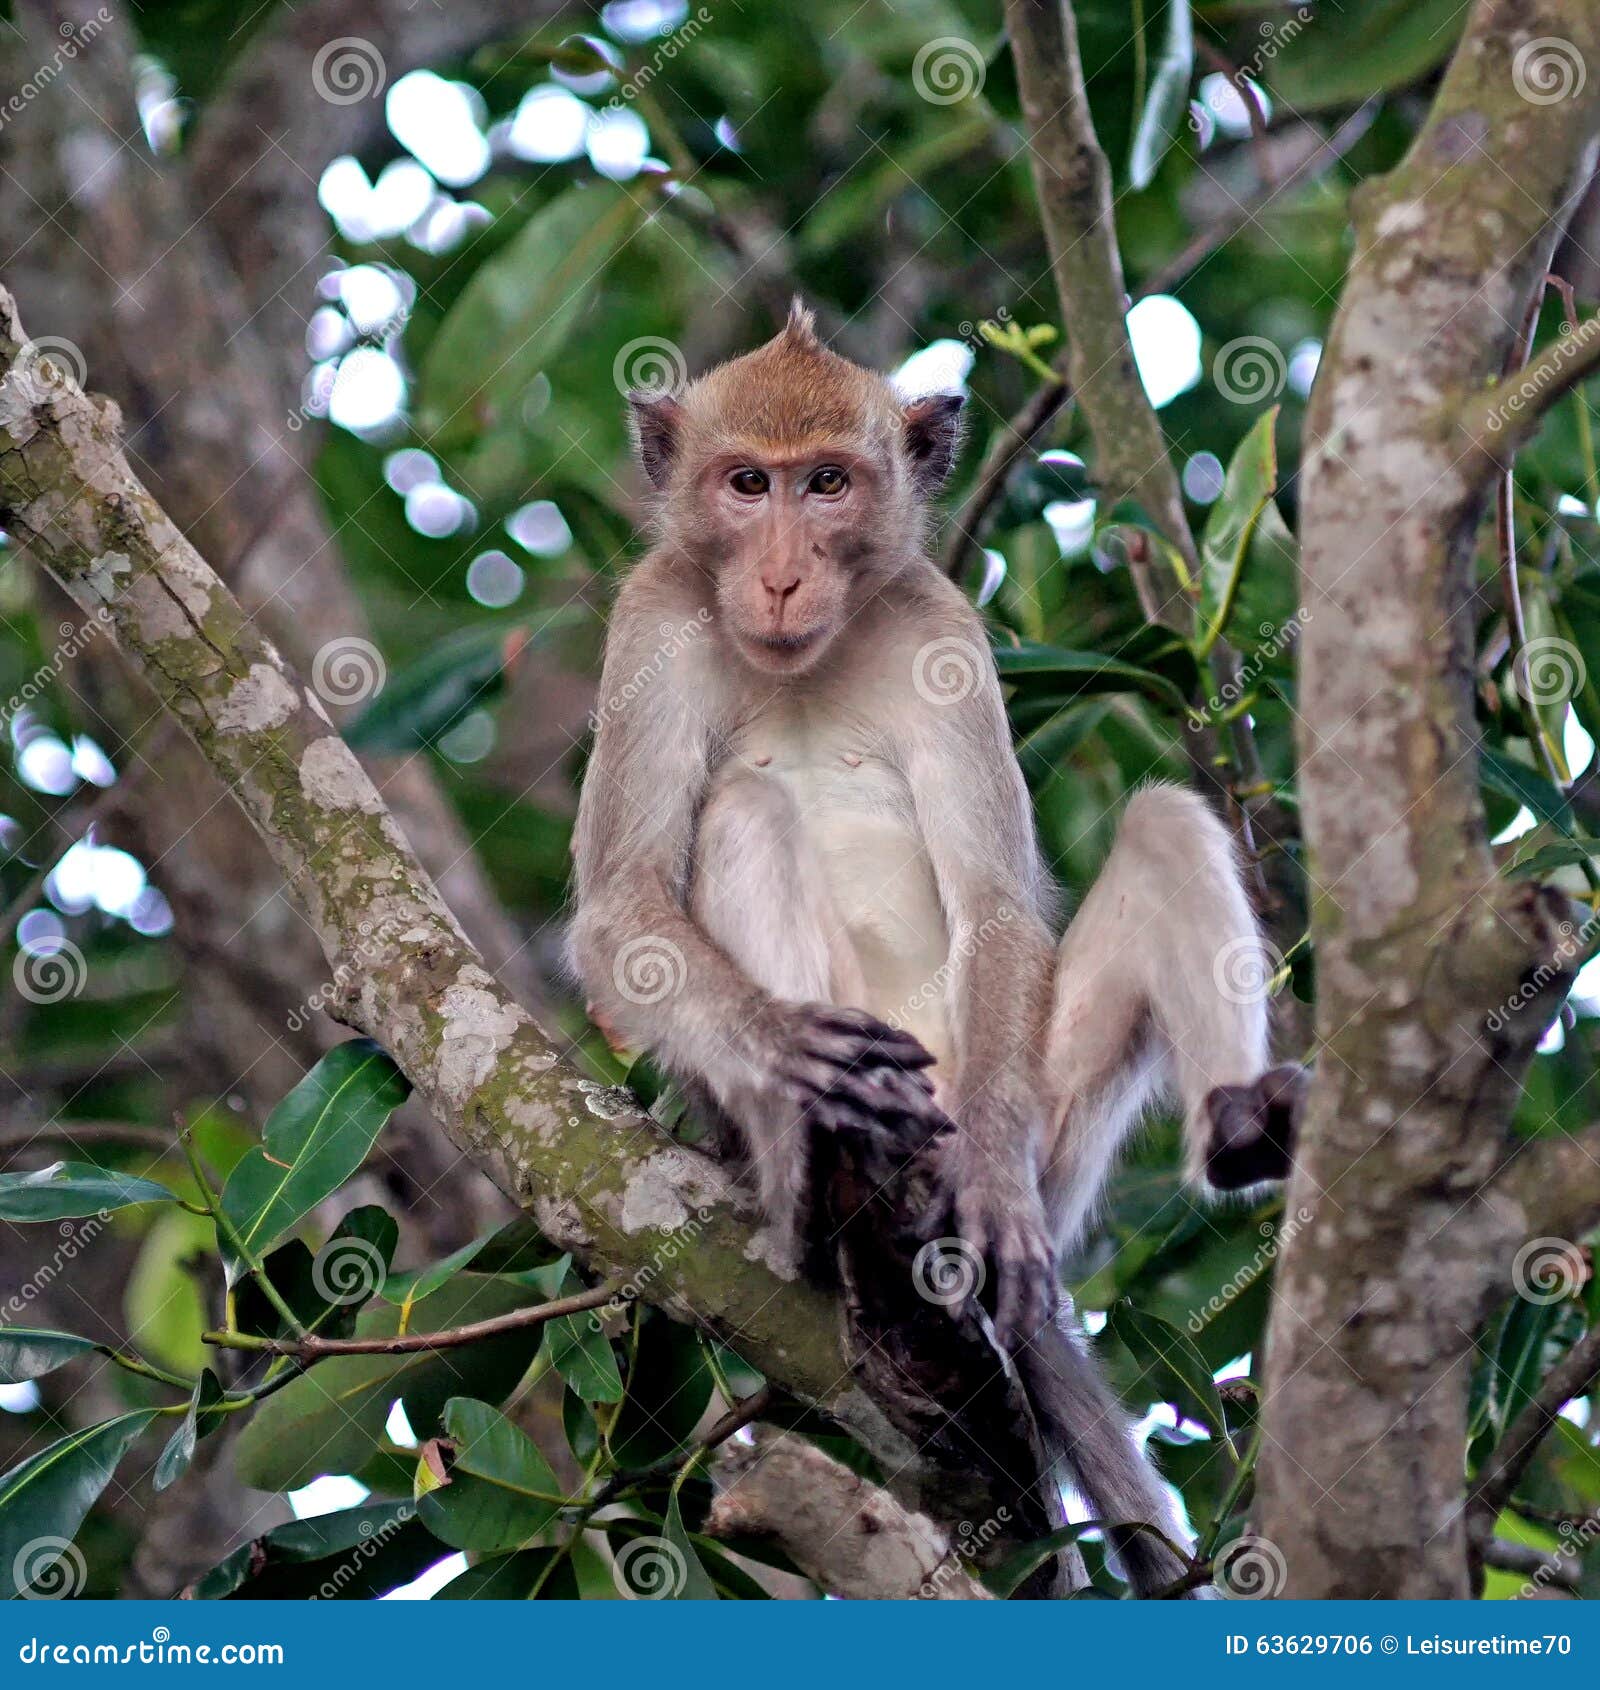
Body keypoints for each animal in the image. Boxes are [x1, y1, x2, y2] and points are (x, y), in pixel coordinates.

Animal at [568, 302, 1303, 1595]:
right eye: (747, 484)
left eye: (826, 484)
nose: (781, 572)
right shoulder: (650, 619)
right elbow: (621, 905)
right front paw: (783, 1045)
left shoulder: (939, 621)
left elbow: (996, 904)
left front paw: (993, 1180)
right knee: (744, 815)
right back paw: (811, 1168)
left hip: (1044, 1122)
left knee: (1163, 823)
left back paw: (1235, 1124)